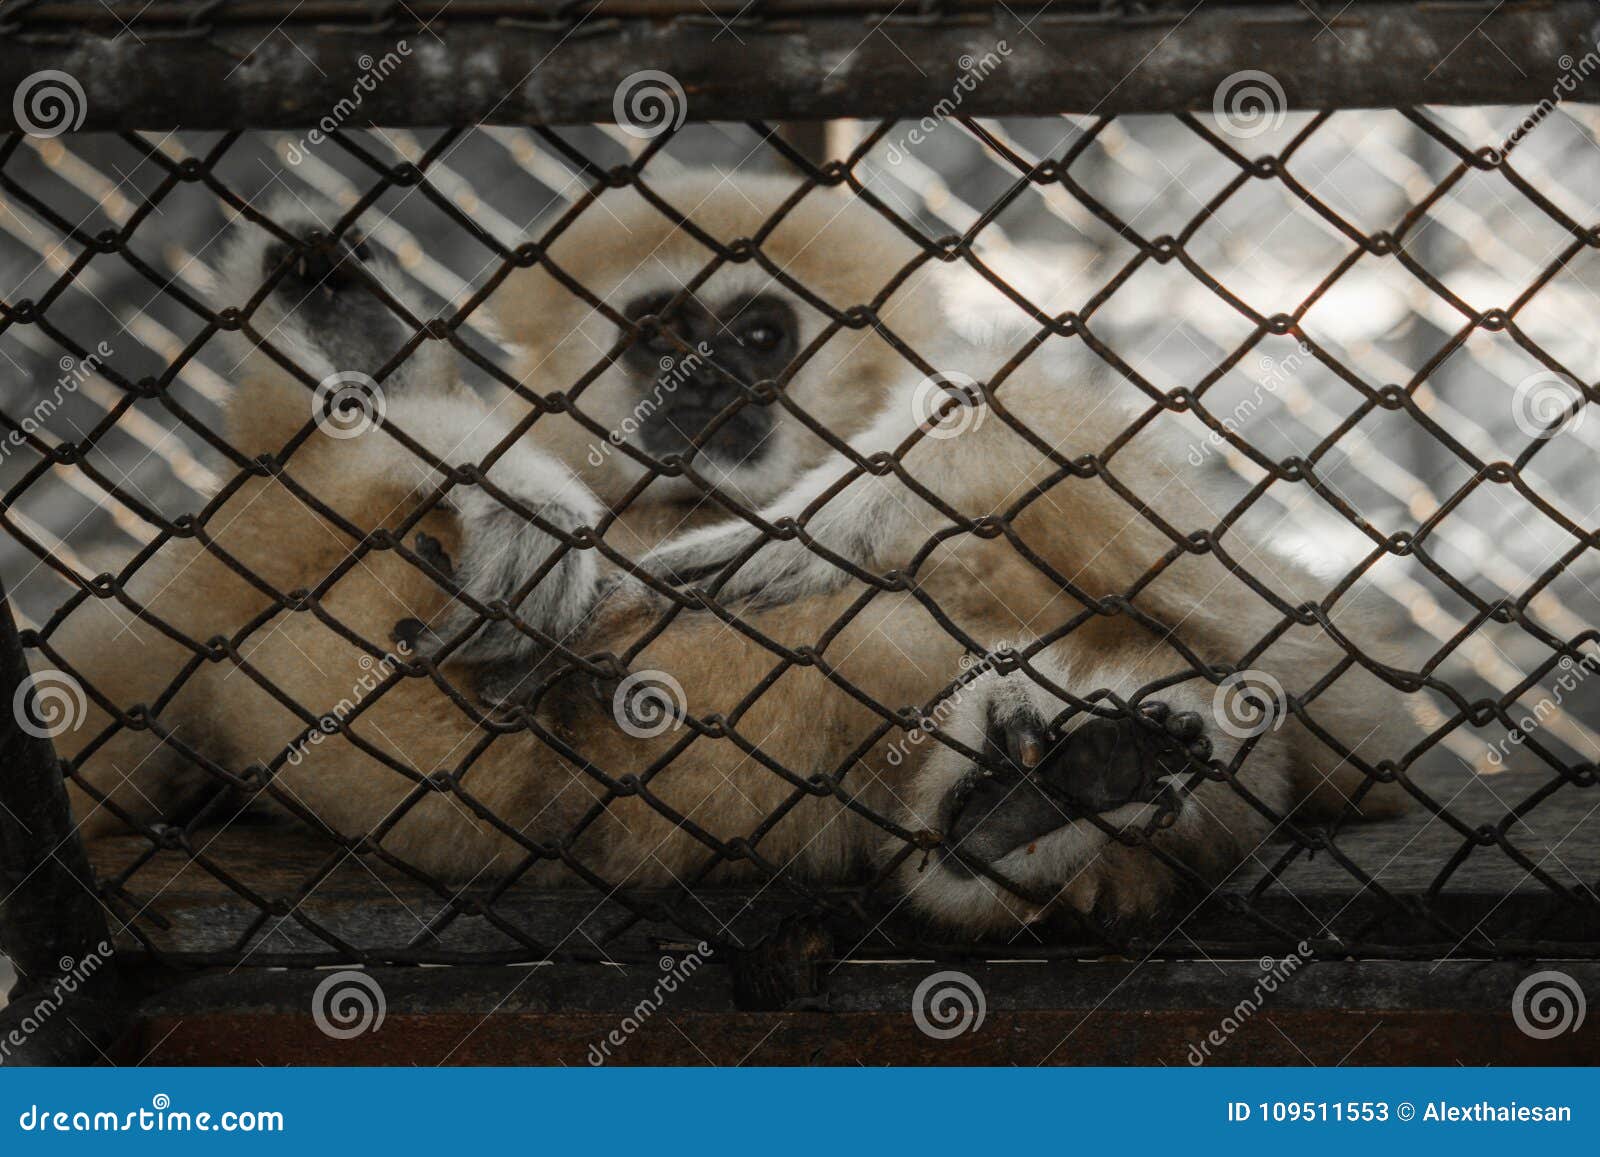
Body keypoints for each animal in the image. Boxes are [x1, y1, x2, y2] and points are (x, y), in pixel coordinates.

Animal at [50, 171, 1416, 936]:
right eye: (662, 333)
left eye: (759, 334)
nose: (703, 384)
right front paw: (503, 478)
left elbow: (1330, 698)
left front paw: (834, 517)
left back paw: (1047, 789)